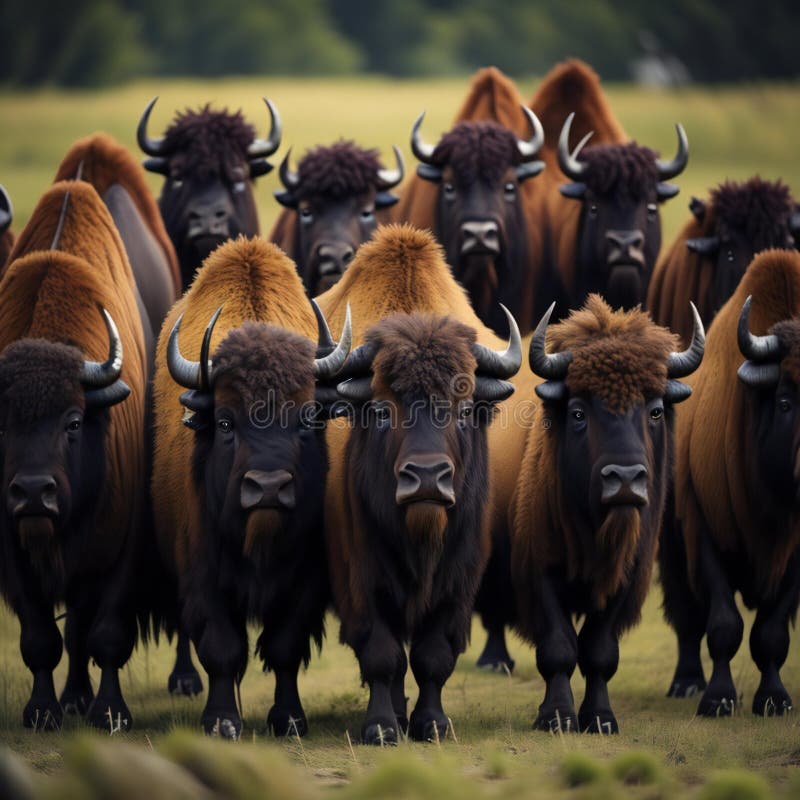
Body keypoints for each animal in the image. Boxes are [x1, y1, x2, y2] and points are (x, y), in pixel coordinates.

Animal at [0, 179, 147, 731]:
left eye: (74, 422)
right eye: (0, 423)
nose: (32, 493)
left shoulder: (123, 545)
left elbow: (105, 633)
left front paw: (110, 712)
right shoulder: (13, 551)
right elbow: (41, 637)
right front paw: (43, 711)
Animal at [152, 237, 350, 739]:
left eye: (307, 417)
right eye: (225, 421)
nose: (268, 489)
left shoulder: (305, 581)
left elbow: (284, 647)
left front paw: (290, 719)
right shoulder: (202, 573)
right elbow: (222, 649)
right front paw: (222, 721)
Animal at [317, 224, 522, 744]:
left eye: (465, 405)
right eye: (380, 407)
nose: (427, 477)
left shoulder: (458, 582)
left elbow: (433, 656)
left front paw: (431, 724)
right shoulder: (362, 580)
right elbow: (382, 654)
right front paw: (381, 727)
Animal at [510, 295, 703, 732]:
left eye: (655, 410)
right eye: (578, 412)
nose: (626, 480)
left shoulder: (624, 579)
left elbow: (599, 651)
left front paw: (600, 718)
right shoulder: (541, 572)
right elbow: (559, 647)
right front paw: (556, 717)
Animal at [661, 249, 800, 716]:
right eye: (786, 400)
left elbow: (771, 634)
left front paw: (774, 699)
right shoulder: (702, 535)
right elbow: (723, 623)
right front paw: (718, 698)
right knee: (687, 620)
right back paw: (686, 682)